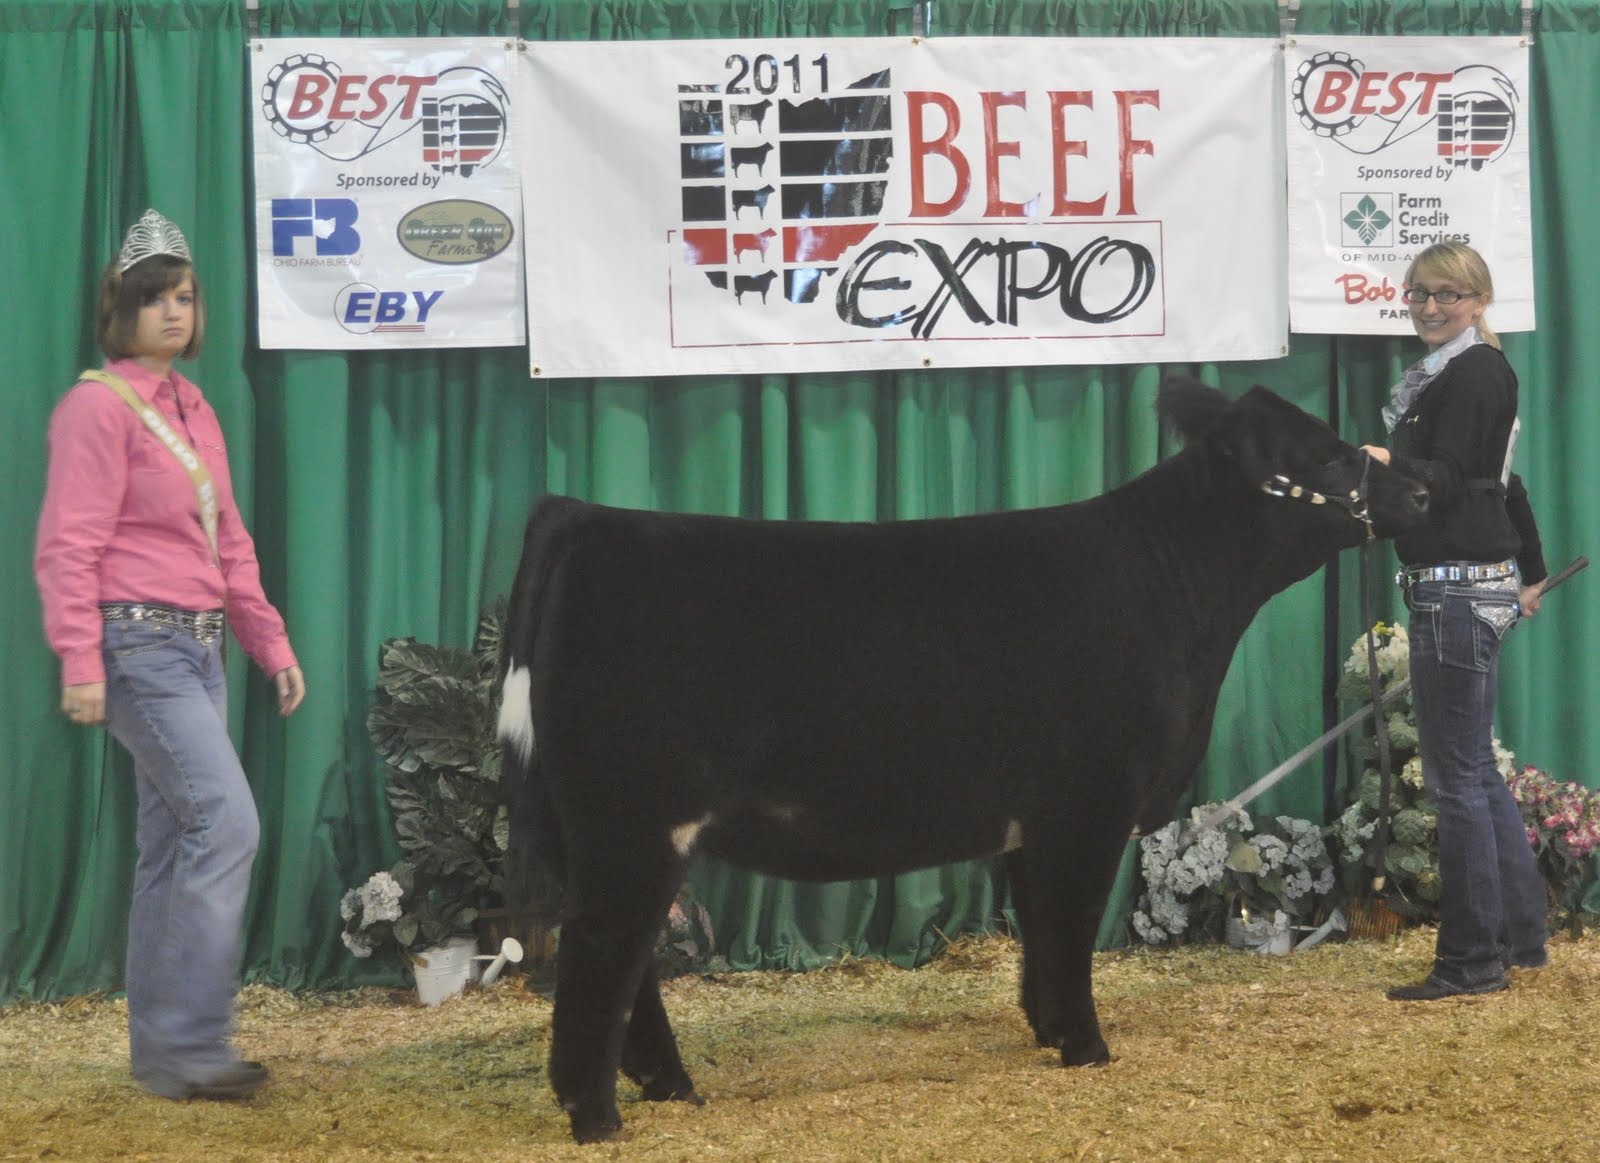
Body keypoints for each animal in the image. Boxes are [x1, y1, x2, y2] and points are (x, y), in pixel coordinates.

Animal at [496, 378, 1429, 1143]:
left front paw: (1049, 1030)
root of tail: (587, 516)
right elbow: (1069, 929)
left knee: (626, 964)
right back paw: (597, 1114)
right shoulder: (1087, 804)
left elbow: (1039, 932)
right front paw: (1088, 1045)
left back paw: (670, 1085)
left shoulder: (1030, 820)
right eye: (1327, 452)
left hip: (603, 831)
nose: (1420, 487)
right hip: (631, 823)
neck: (1175, 588)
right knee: (602, 953)